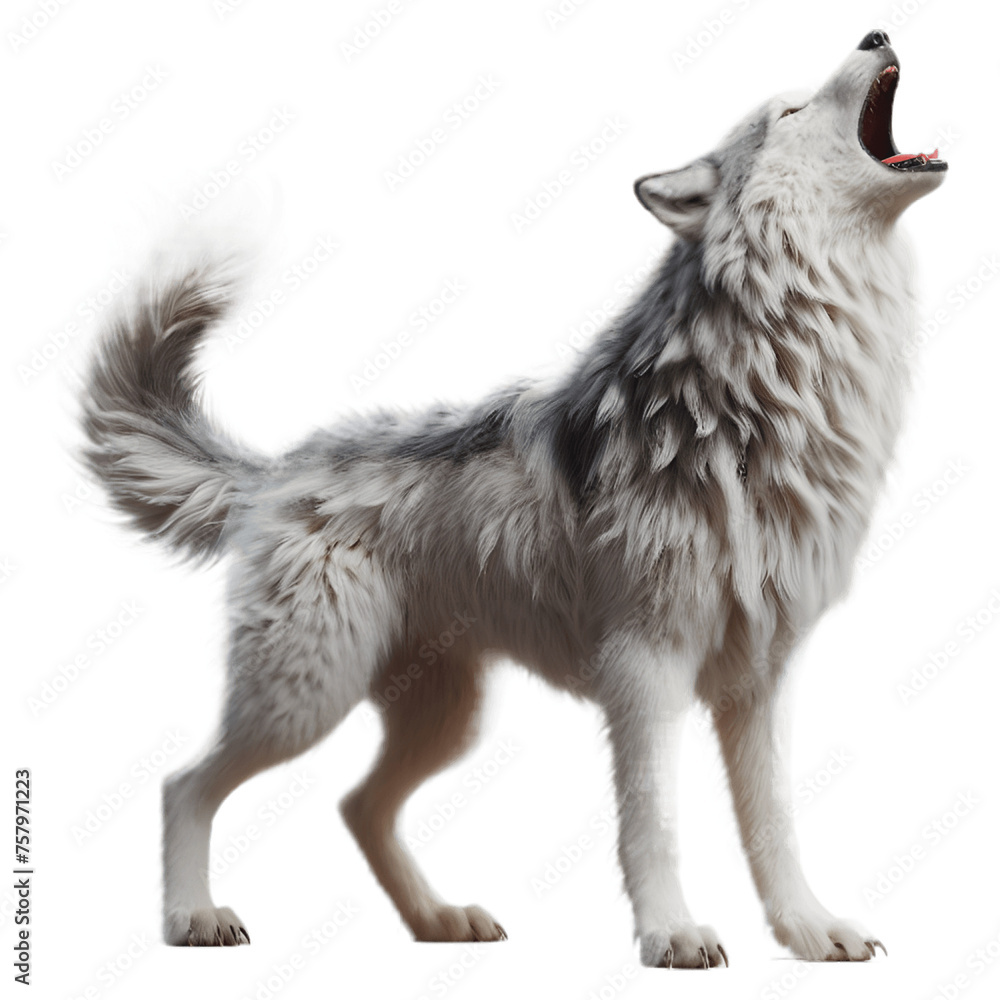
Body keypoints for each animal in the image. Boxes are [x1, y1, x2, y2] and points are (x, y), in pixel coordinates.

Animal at [81, 29, 945, 967]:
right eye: (788, 111)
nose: (875, 34)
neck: (775, 387)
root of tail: (278, 470)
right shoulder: (646, 668)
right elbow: (653, 820)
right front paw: (672, 934)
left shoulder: (760, 677)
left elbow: (776, 823)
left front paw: (810, 931)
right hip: (306, 693)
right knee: (184, 784)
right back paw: (193, 919)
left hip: (443, 716)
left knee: (357, 805)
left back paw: (438, 921)